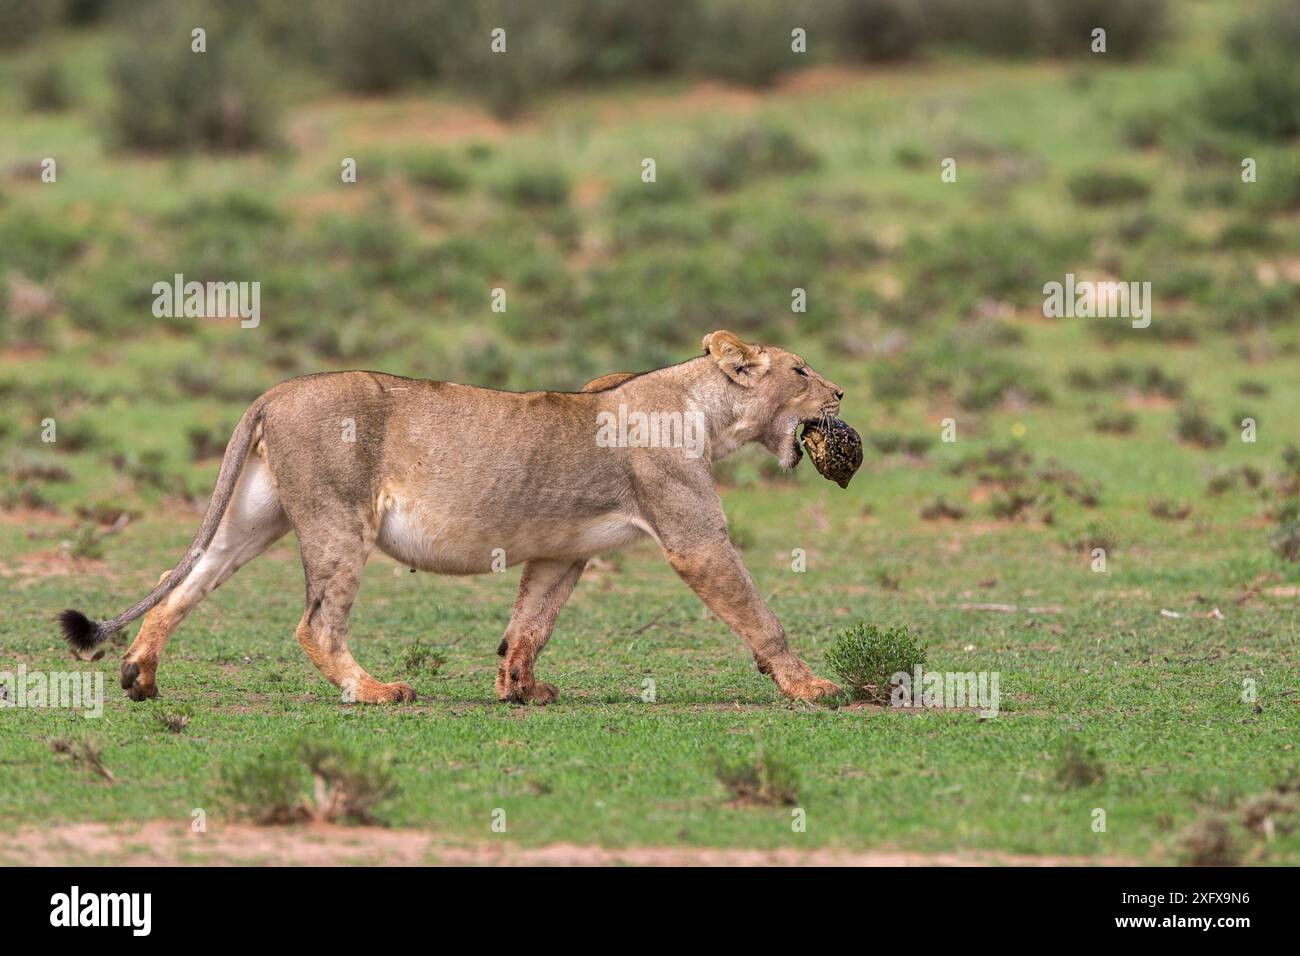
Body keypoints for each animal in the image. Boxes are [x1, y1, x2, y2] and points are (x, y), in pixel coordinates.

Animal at [59, 330, 845, 705]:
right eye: (800, 370)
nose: (839, 394)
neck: (704, 410)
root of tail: (274, 391)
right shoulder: (694, 539)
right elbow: (761, 616)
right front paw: (812, 688)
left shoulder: (562, 551)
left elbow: (529, 624)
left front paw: (521, 690)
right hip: (340, 519)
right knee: (316, 624)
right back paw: (376, 691)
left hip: (254, 520)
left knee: (183, 582)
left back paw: (139, 676)